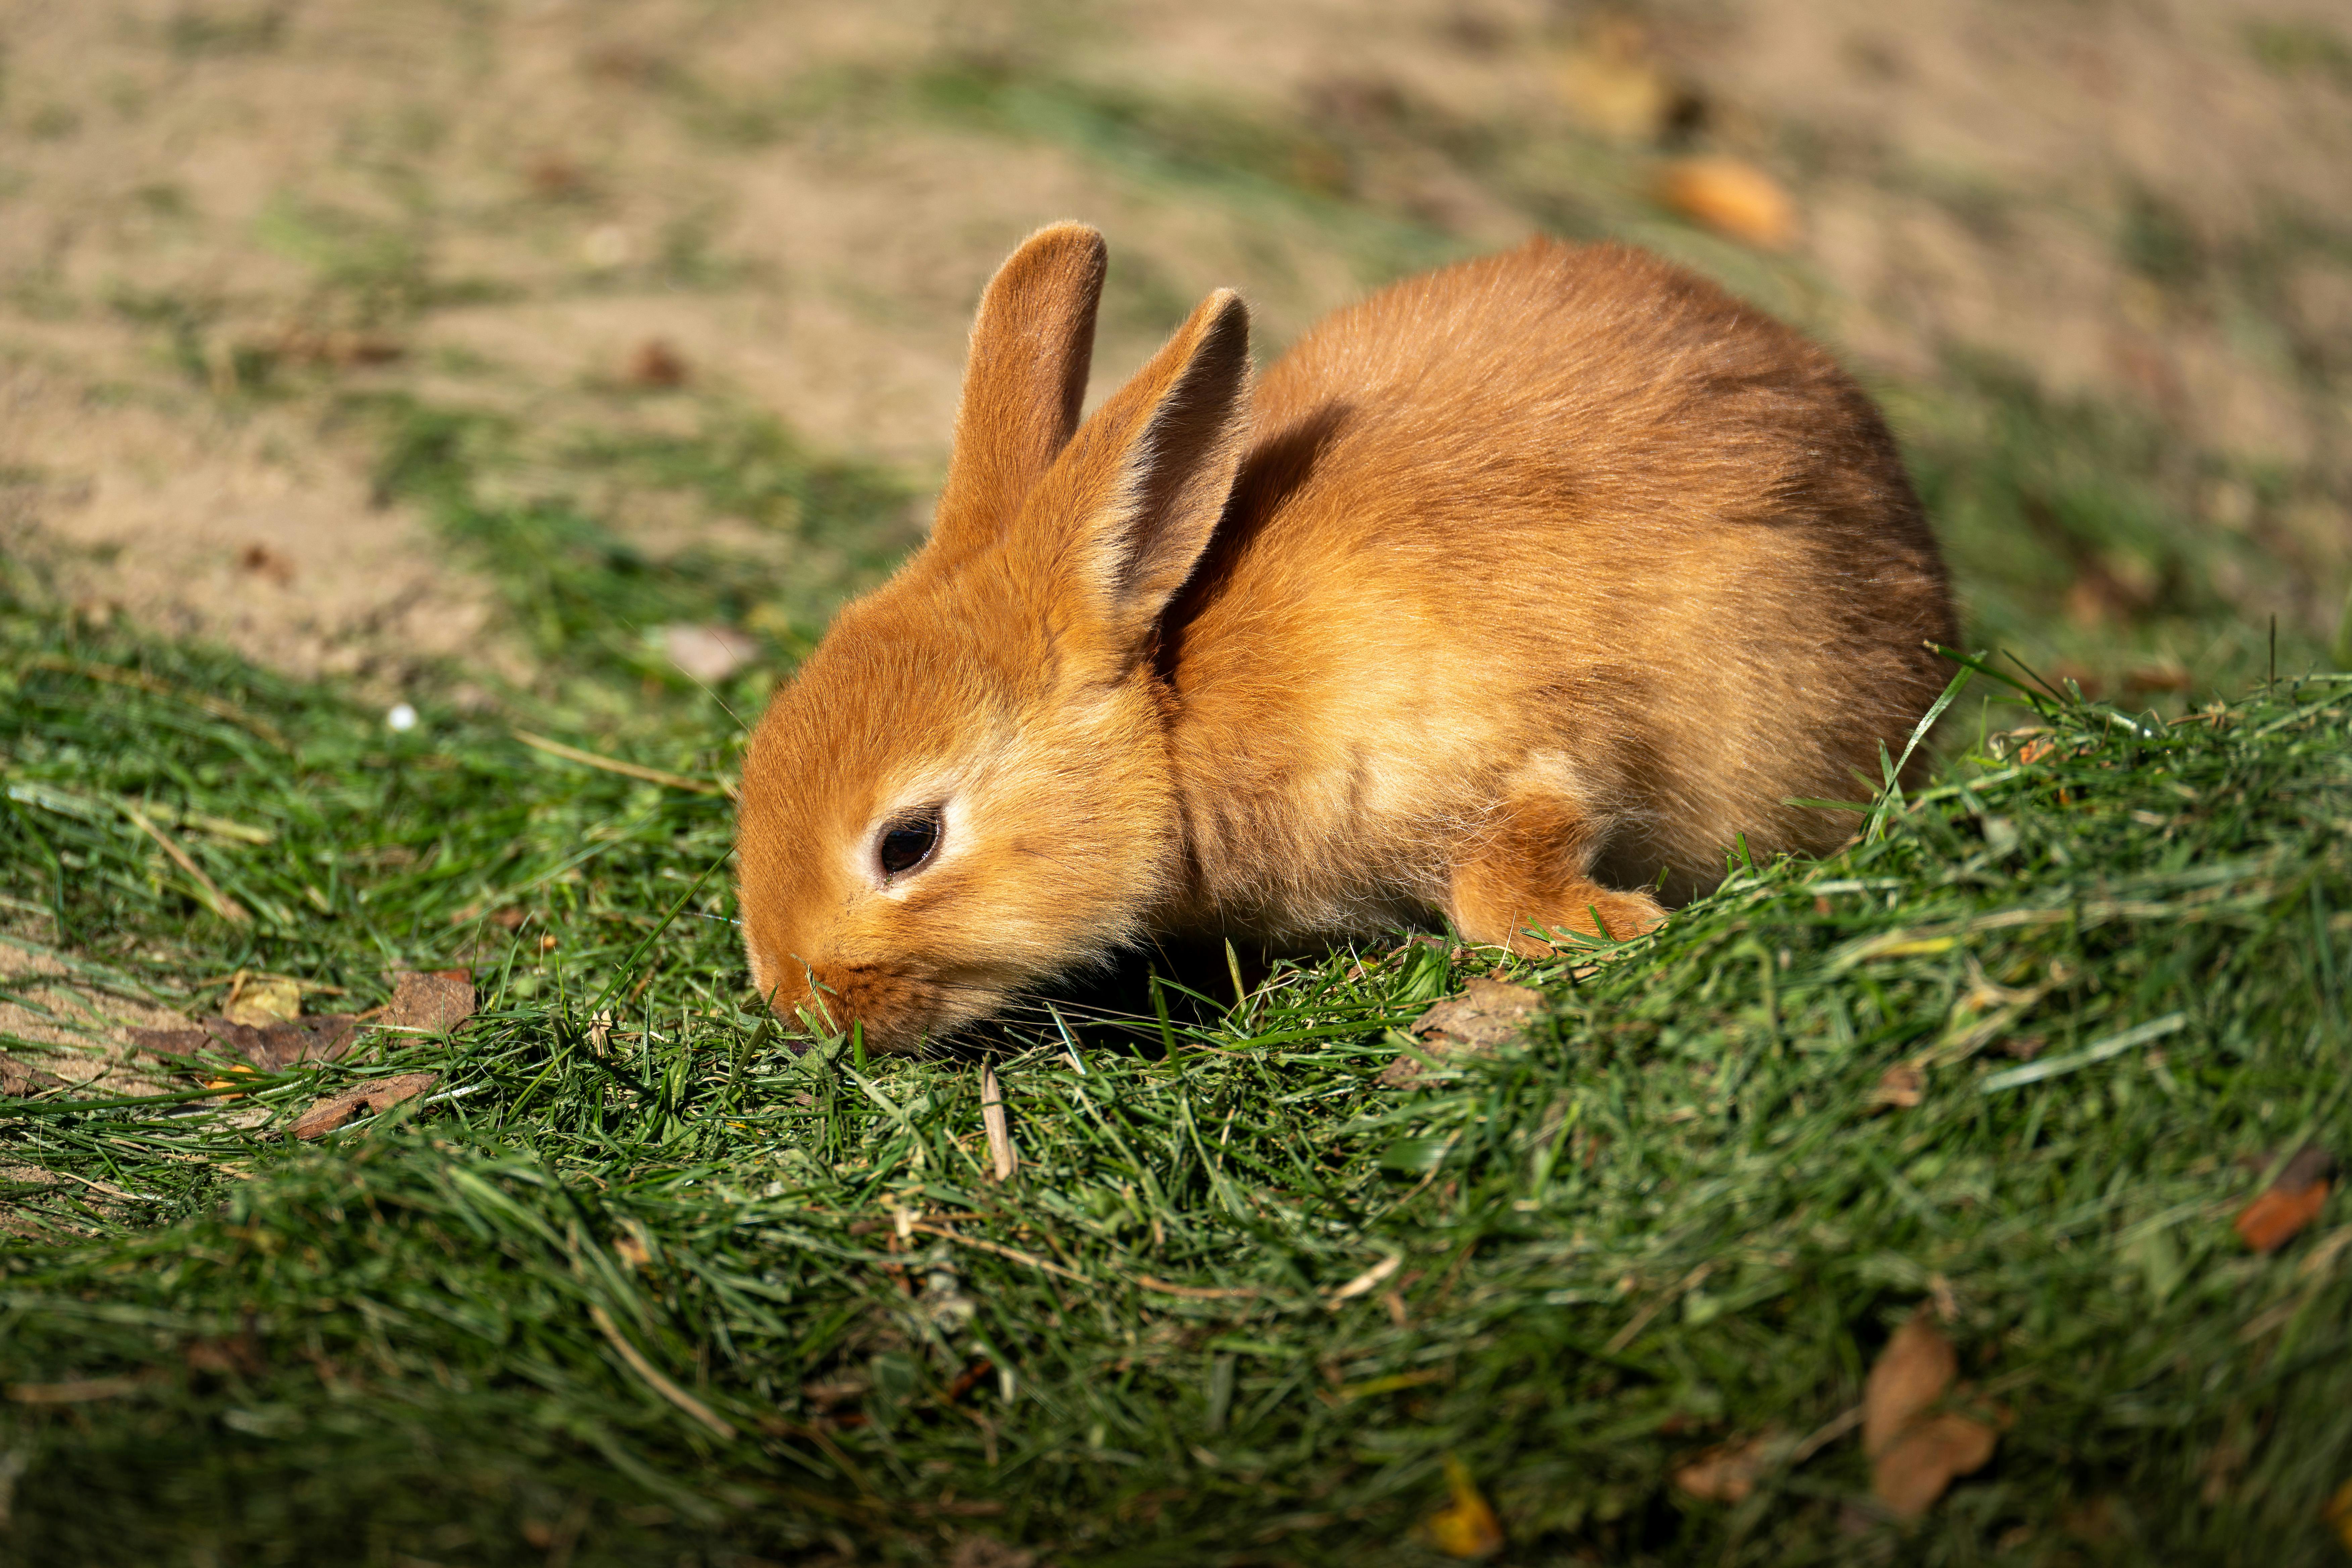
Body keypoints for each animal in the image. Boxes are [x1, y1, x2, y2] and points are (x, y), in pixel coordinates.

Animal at [735, 223, 1957, 1051]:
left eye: (908, 844)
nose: (800, 1004)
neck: (1174, 722)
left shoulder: (1523, 748)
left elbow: (1507, 874)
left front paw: (1615, 927)